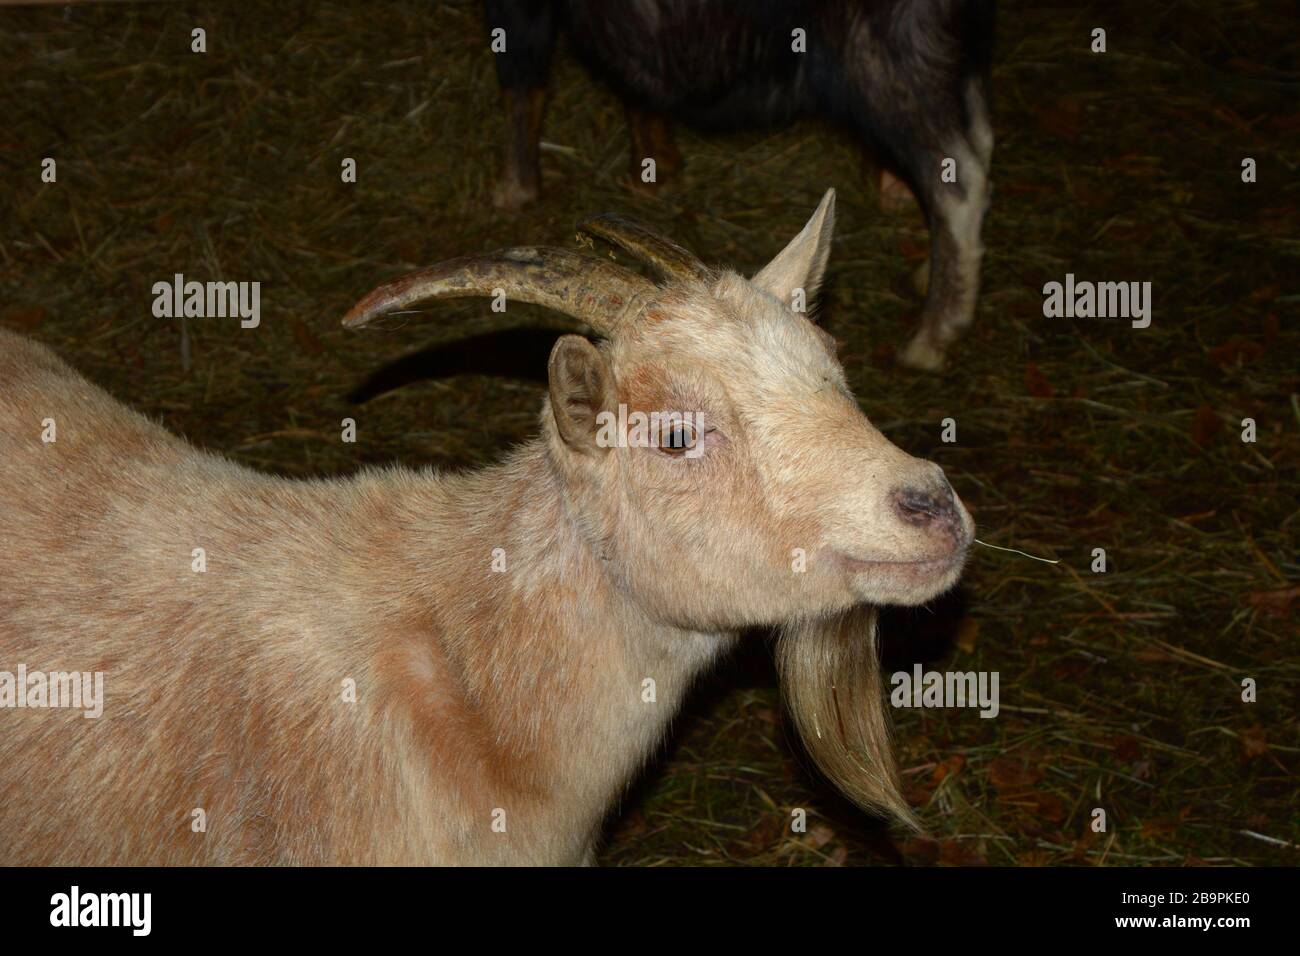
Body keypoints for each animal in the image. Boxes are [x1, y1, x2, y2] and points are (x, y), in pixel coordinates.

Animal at [485, 0, 996, 371]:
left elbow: (520, 74)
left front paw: (515, 187)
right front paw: (654, 167)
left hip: (889, 45)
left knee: (958, 178)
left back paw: (933, 334)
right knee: (979, 137)